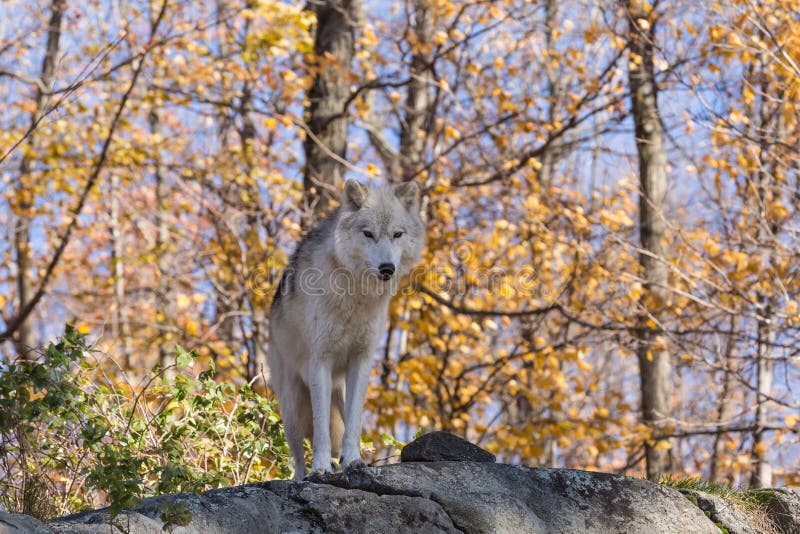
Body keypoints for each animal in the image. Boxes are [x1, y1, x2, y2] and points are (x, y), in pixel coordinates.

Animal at [268, 179, 424, 480]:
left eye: (397, 234)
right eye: (368, 233)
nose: (387, 268)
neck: (355, 295)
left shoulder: (360, 361)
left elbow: (353, 425)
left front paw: (353, 461)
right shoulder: (320, 361)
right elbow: (320, 432)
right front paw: (320, 468)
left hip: (337, 389)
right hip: (291, 406)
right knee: (297, 456)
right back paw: (304, 475)